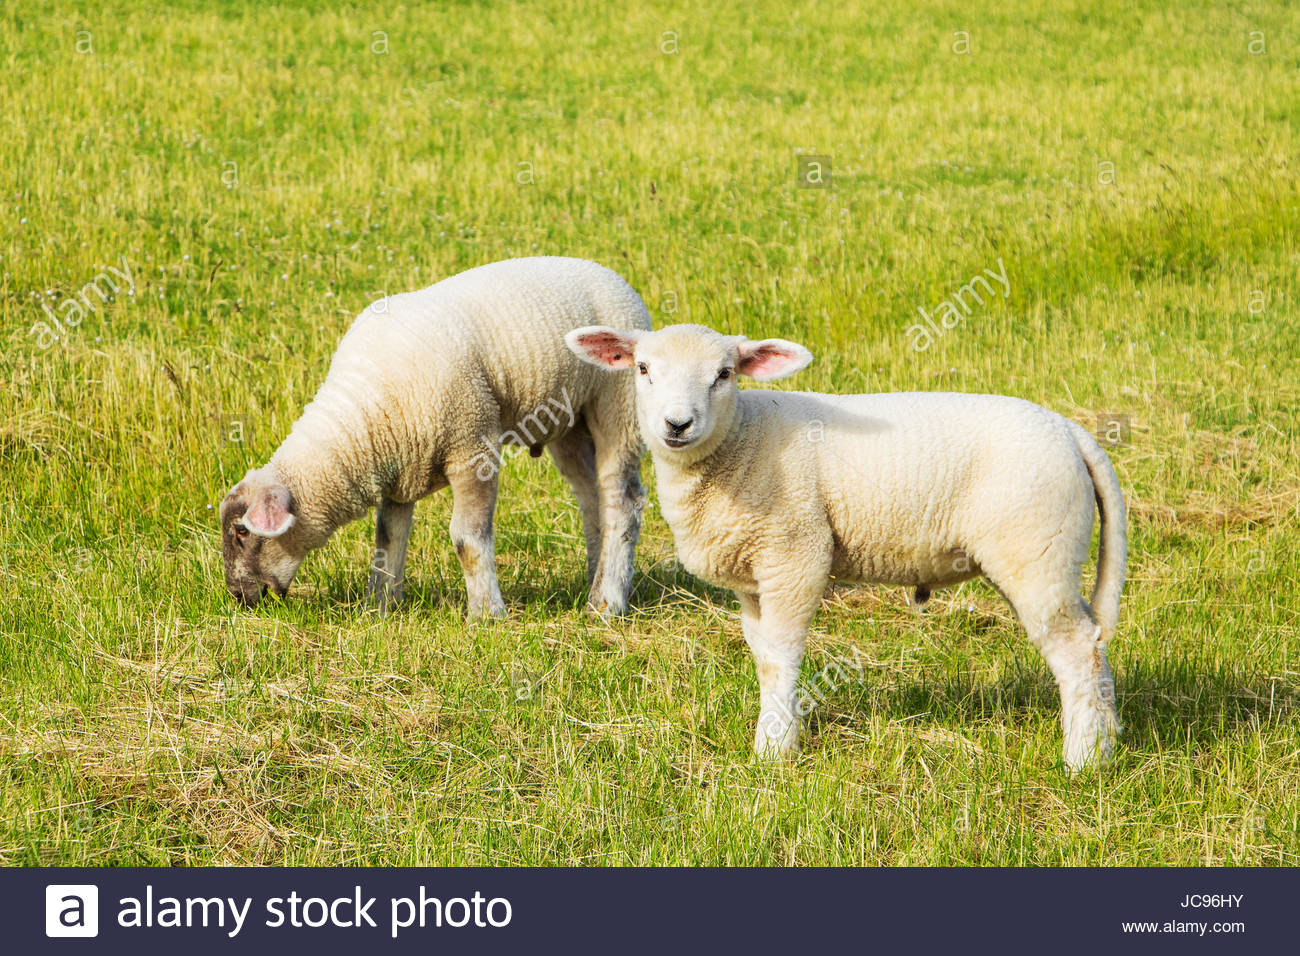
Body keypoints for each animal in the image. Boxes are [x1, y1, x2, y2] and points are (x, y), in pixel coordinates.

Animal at [220, 257, 650, 618]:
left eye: (242, 531)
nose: (239, 598)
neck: (359, 421)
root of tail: (615, 278)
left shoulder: (472, 447)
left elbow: (467, 540)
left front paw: (487, 615)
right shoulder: (397, 467)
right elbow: (387, 540)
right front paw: (379, 607)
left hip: (619, 409)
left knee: (622, 503)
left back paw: (607, 602)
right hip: (570, 423)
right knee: (594, 500)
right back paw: (593, 583)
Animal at [566, 322, 1126, 771]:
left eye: (724, 373)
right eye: (642, 368)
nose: (677, 424)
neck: (741, 440)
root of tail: (1071, 432)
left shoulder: (794, 553)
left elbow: (783, 655)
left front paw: (773, 750)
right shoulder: (753, 572)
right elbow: (762, 655)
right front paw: (777, 735)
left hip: (1037, 548)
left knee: (1077, 650)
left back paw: (1081, 760)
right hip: (1040, 552)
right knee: (1094, 644)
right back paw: (1107, 744)